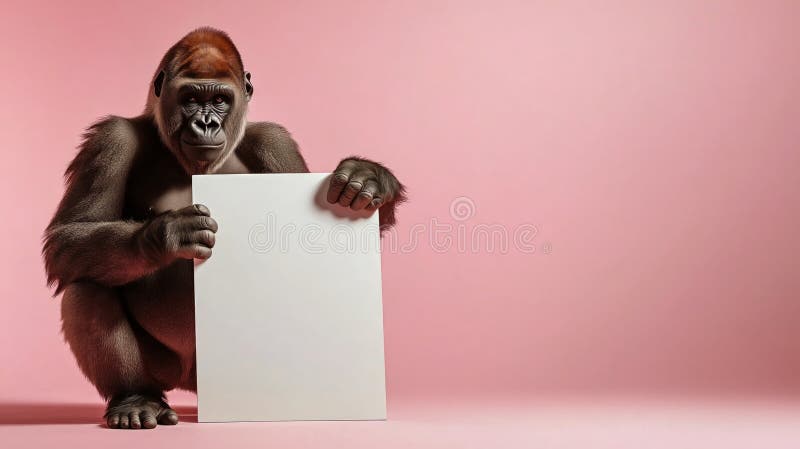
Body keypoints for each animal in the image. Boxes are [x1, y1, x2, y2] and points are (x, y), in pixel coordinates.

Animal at [42, 27, 405, 429]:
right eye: (189, 99)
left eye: (219, 100)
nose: (206, 124)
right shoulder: (110, 139)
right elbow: (68, 236)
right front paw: (164, 235)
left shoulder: (274, 141)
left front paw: (370, 177)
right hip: (166, 372)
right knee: (87, 283)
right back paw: (134, 399)